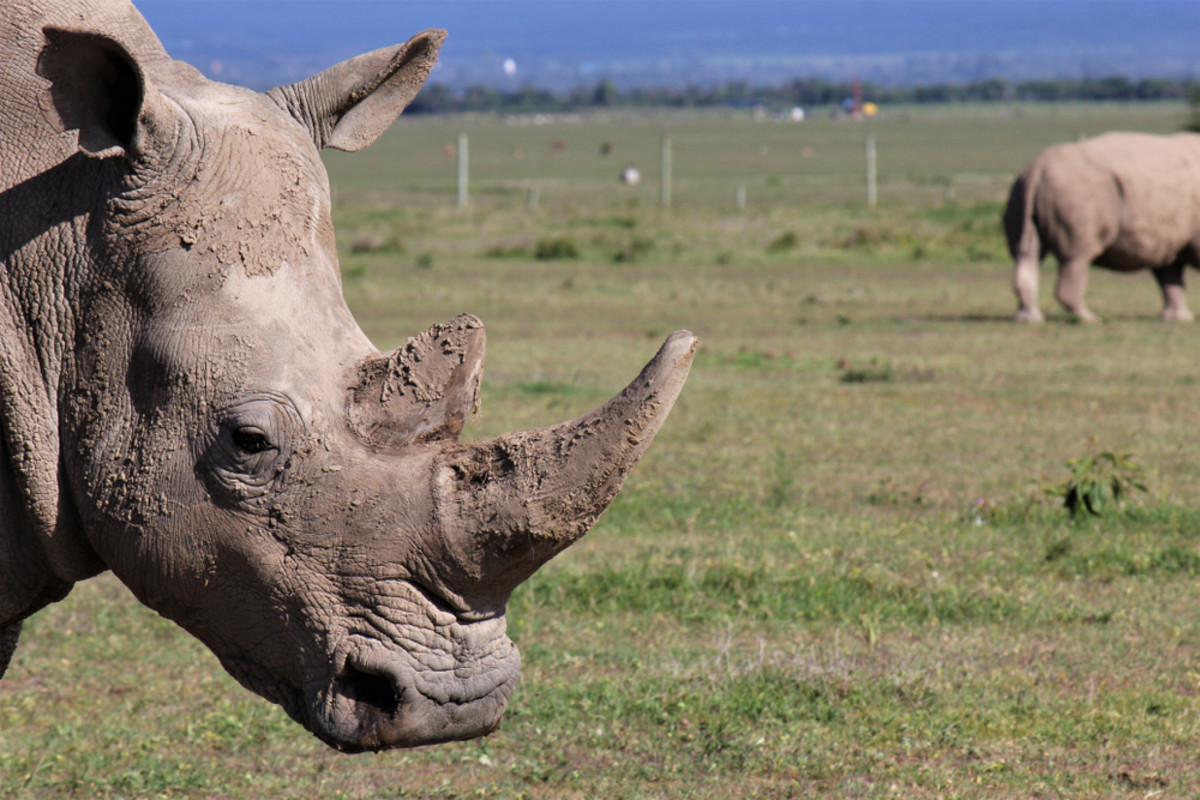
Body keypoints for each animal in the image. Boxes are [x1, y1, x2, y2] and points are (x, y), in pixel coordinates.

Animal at [1004, 131, 1200, 322]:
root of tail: (1038, 169)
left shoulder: (1168, 240)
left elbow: (1171, 278)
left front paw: (1179, 318)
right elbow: (1172, 277)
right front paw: (1184, 318)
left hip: (1020, 191)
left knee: (1027, 253)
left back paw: (1030, 319)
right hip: (1078, 191)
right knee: (1077, 256)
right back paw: (1088, 318)